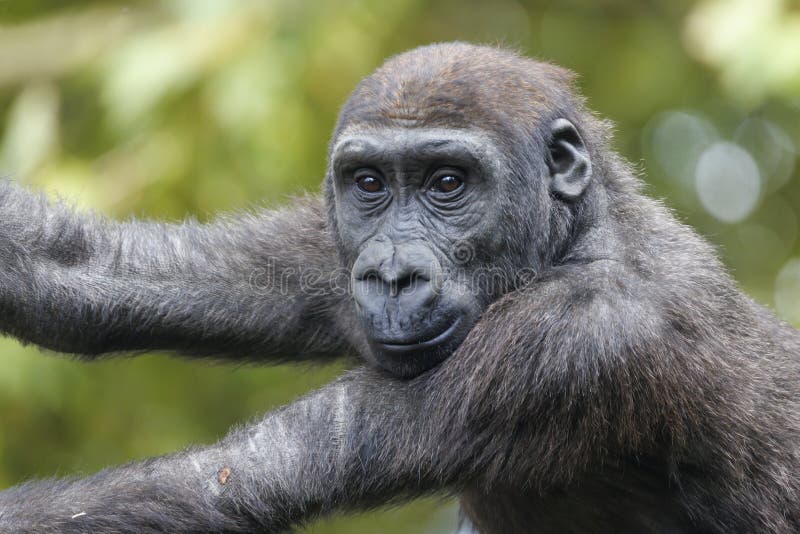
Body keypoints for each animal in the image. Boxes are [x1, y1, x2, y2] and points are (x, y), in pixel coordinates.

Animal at [0, 42, 799, 533]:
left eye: (448, 183)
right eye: (370, 184)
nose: (390, 273)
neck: (575, 237)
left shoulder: (578, 339)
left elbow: (234, 480)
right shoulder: (330, 244)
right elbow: (81, 268)